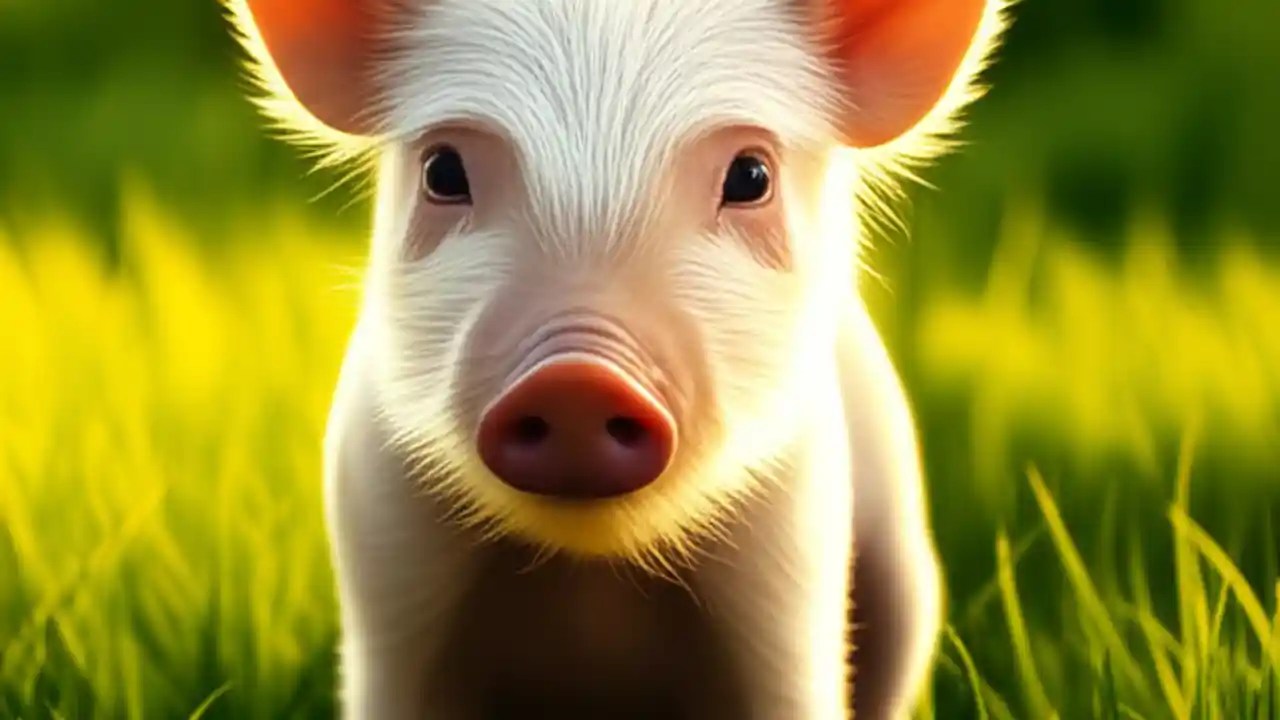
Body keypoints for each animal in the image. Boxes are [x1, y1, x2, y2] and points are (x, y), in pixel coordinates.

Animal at [225, 0, 1011, 717]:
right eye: (444, 171)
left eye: (750, 176)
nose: (578, 379)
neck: (591, 575)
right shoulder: (383, 557)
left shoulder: (792, 554)